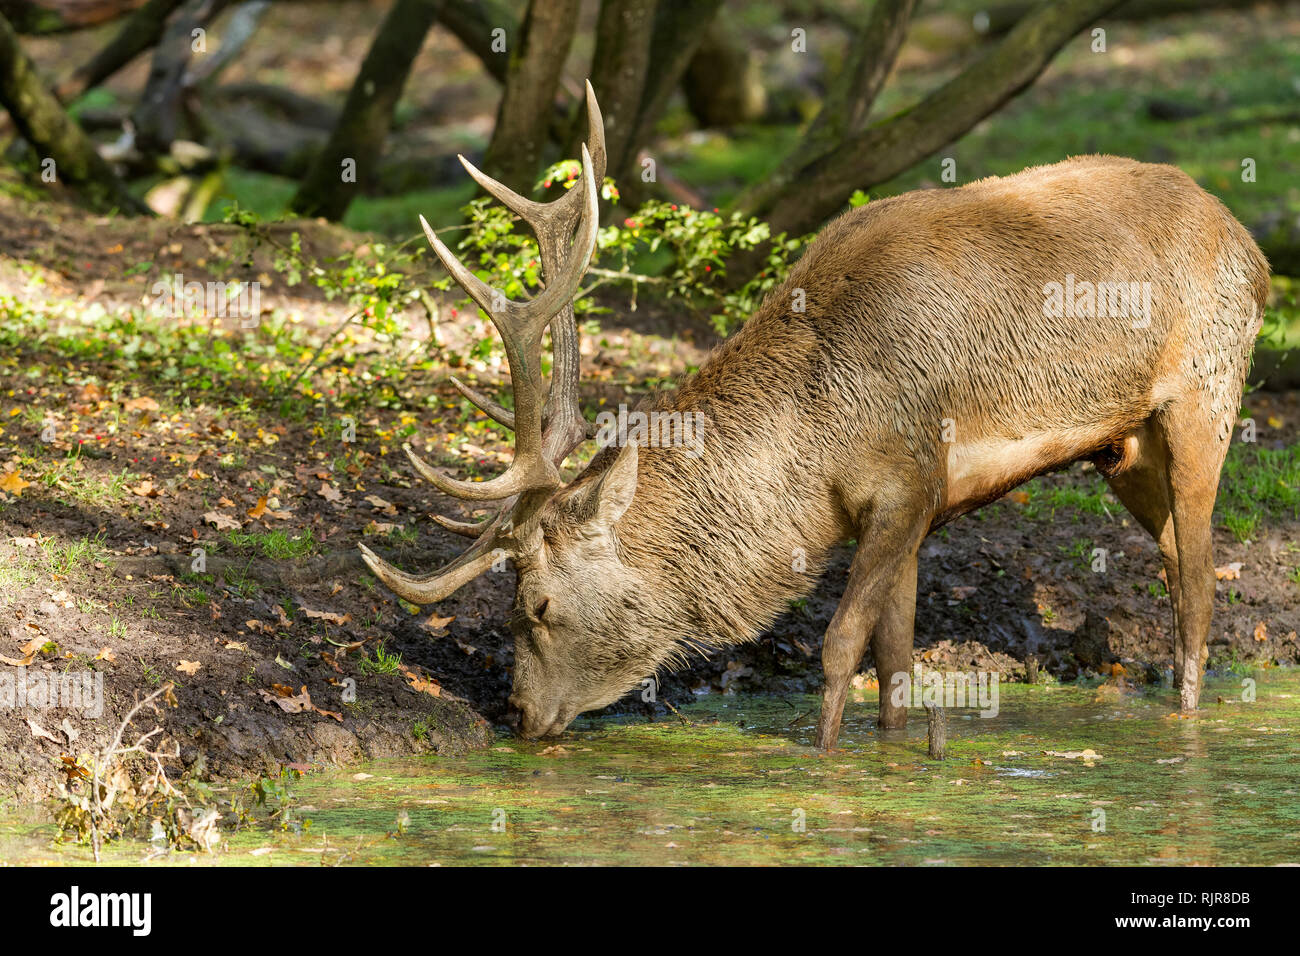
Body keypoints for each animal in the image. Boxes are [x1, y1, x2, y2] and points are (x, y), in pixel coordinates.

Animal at [359, 83, 1270, 749]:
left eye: (538, 607)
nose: (519, 716)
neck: (817, 448)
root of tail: (1251, 246)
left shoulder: (907, 480)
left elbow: (838, 648)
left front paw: (826, 760)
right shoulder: (910, 506)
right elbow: (894, 657)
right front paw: (902, 752)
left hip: (1207, 395)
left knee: (1197, 587)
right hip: (1125, 449)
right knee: (1171, 558)